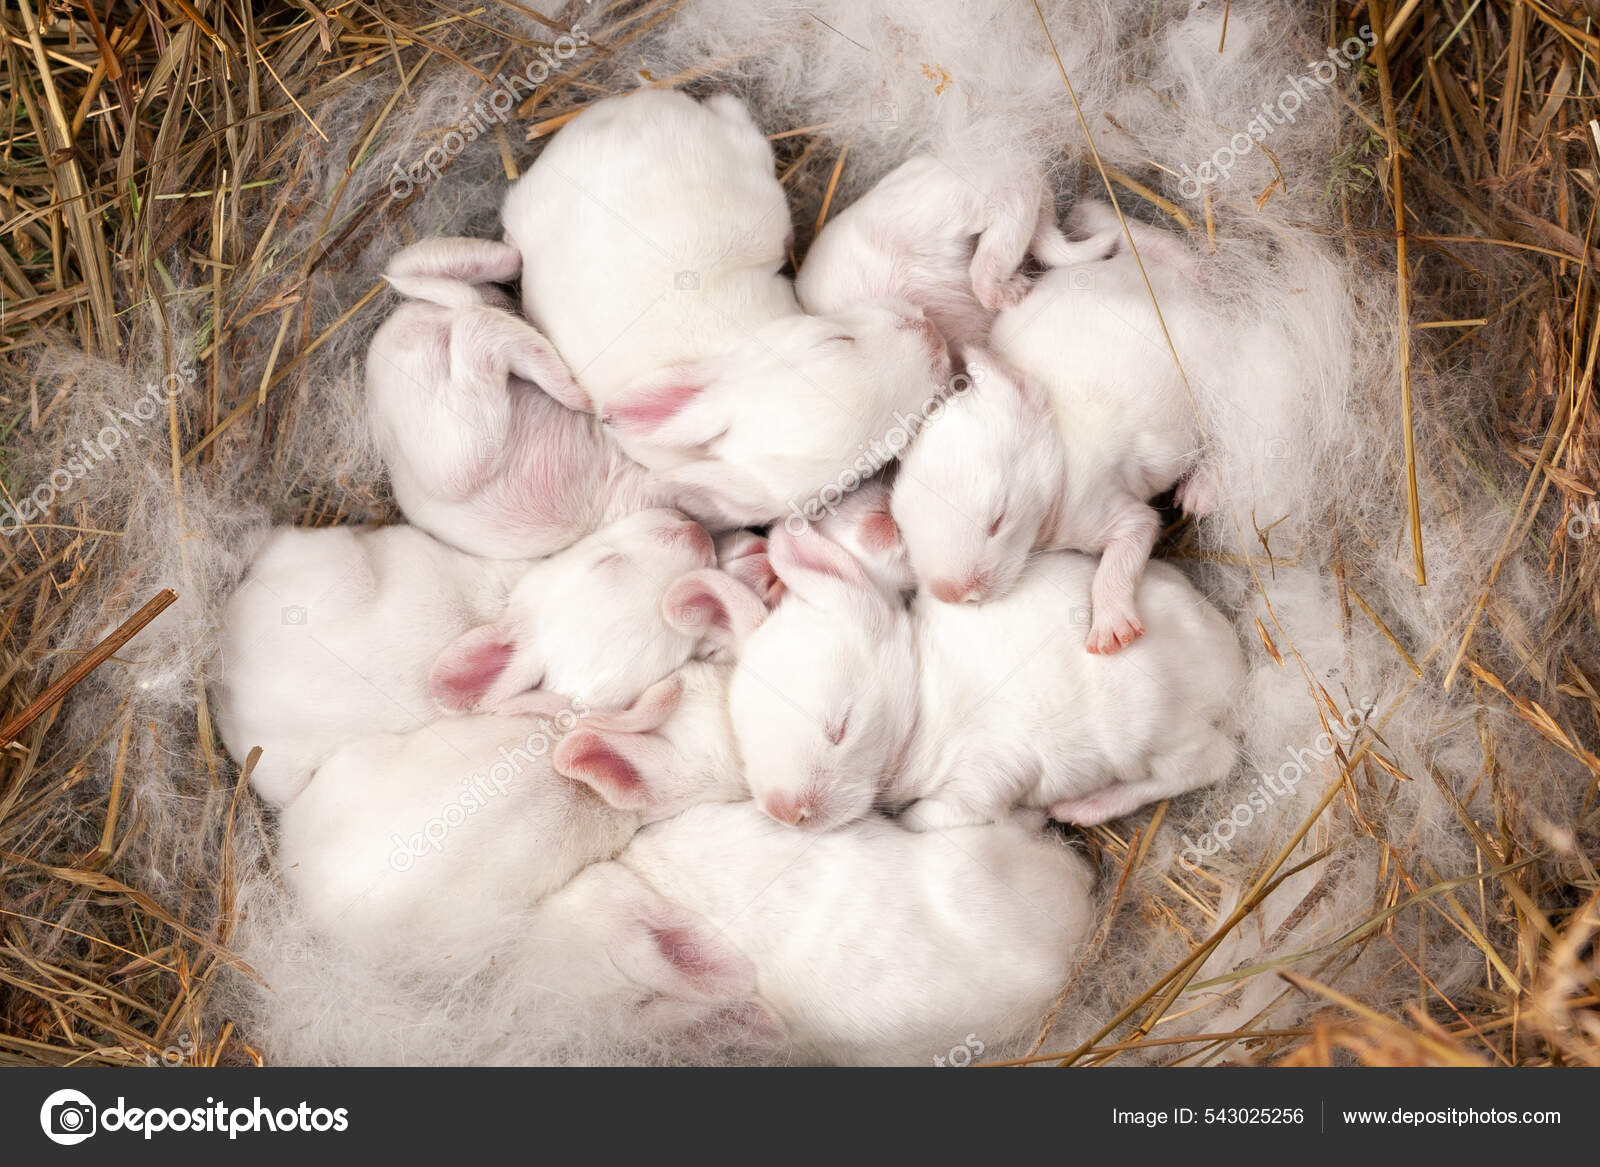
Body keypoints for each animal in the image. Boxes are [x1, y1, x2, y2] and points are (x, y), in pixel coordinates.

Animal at [719, 525, 1240, 832]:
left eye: (840, 729)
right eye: (743, 738)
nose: (786, 812)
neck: (921, 696)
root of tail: (1230, 658)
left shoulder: (987, 771)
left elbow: (933, 816)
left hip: (1154, 728)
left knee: (1207, 764)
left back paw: (1085, 808)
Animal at [891, 202, 1218, 653]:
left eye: (998, 520)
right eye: (902, 523)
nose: (950, 593)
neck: (1057, 444)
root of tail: (1183, 289)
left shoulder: (1103, 505)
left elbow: (1128, 548)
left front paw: (1112, 632)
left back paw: (1201, 491)